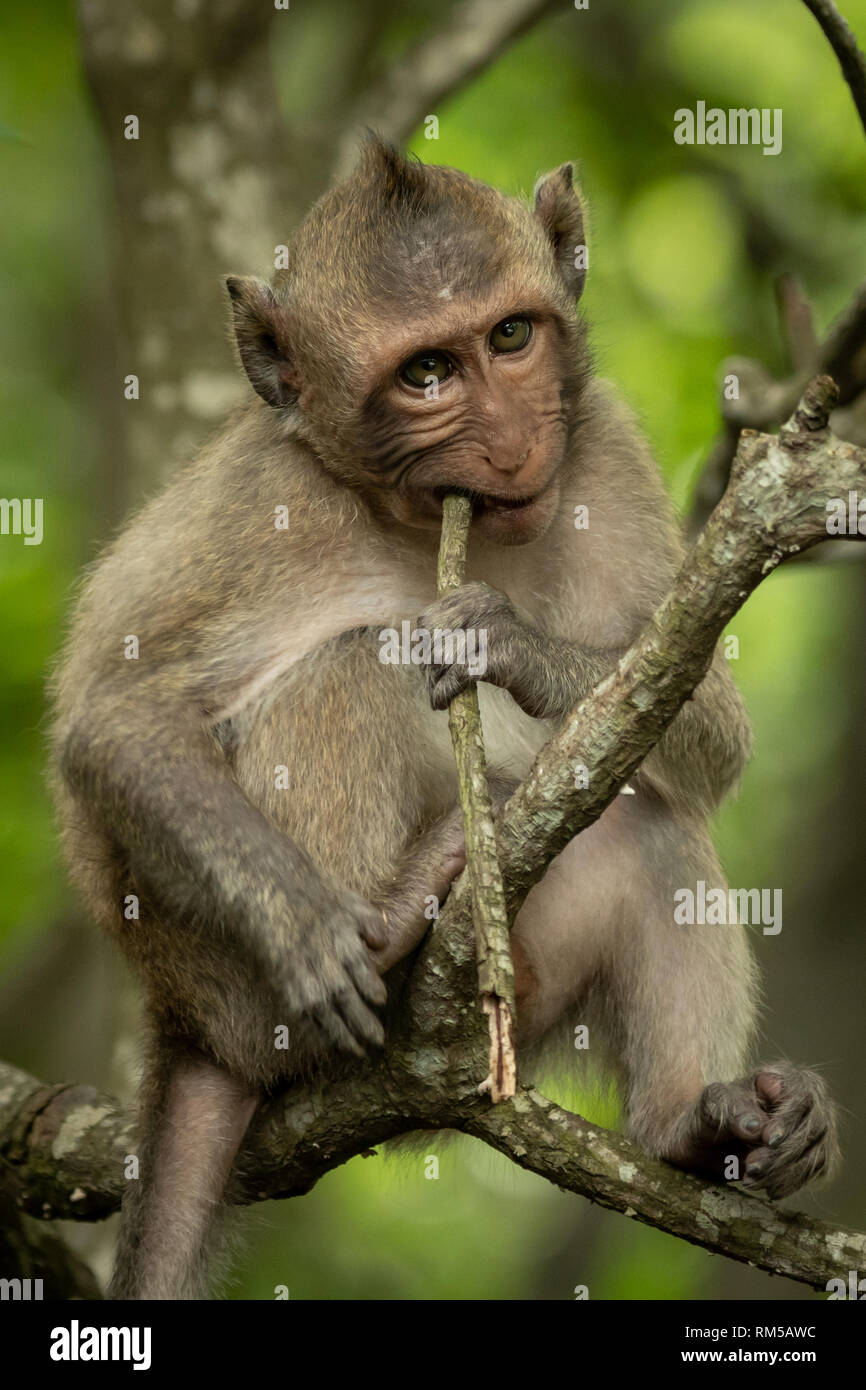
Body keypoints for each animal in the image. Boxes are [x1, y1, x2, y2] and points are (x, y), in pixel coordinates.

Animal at [50, 137, 838, 1300]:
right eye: (425, 374)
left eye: (509, 336)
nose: (509, 446)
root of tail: (181, 1021)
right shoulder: (258, 496)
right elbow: (114, 722)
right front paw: (309, 927)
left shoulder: (600, 443)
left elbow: (709, 725)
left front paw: (508, 644)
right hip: (233, 991)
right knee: (357, 666)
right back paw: (390, 915)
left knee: (649, 826)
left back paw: (691, 1128)